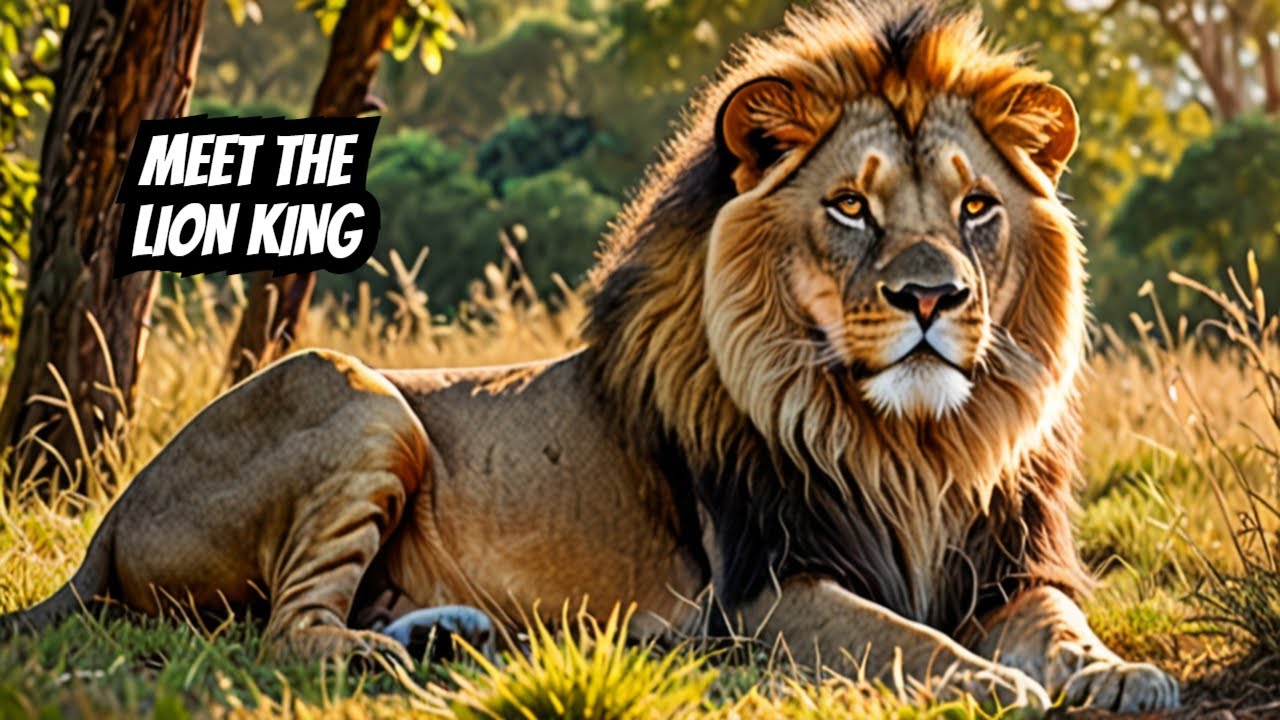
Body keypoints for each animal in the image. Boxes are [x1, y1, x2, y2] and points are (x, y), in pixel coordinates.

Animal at [5, 1, 1179, 713]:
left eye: (976, 209)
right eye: (851, 207)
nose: (932, 296)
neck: (916, 443)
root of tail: (109, 519)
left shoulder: (1007, 567)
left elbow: (1064, 623)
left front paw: (1123, 674)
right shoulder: (762, 593)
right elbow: (899, 637)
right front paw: (984, 682)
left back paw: (452, 635)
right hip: (355, 390)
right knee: (284, 632)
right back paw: (372, 655)